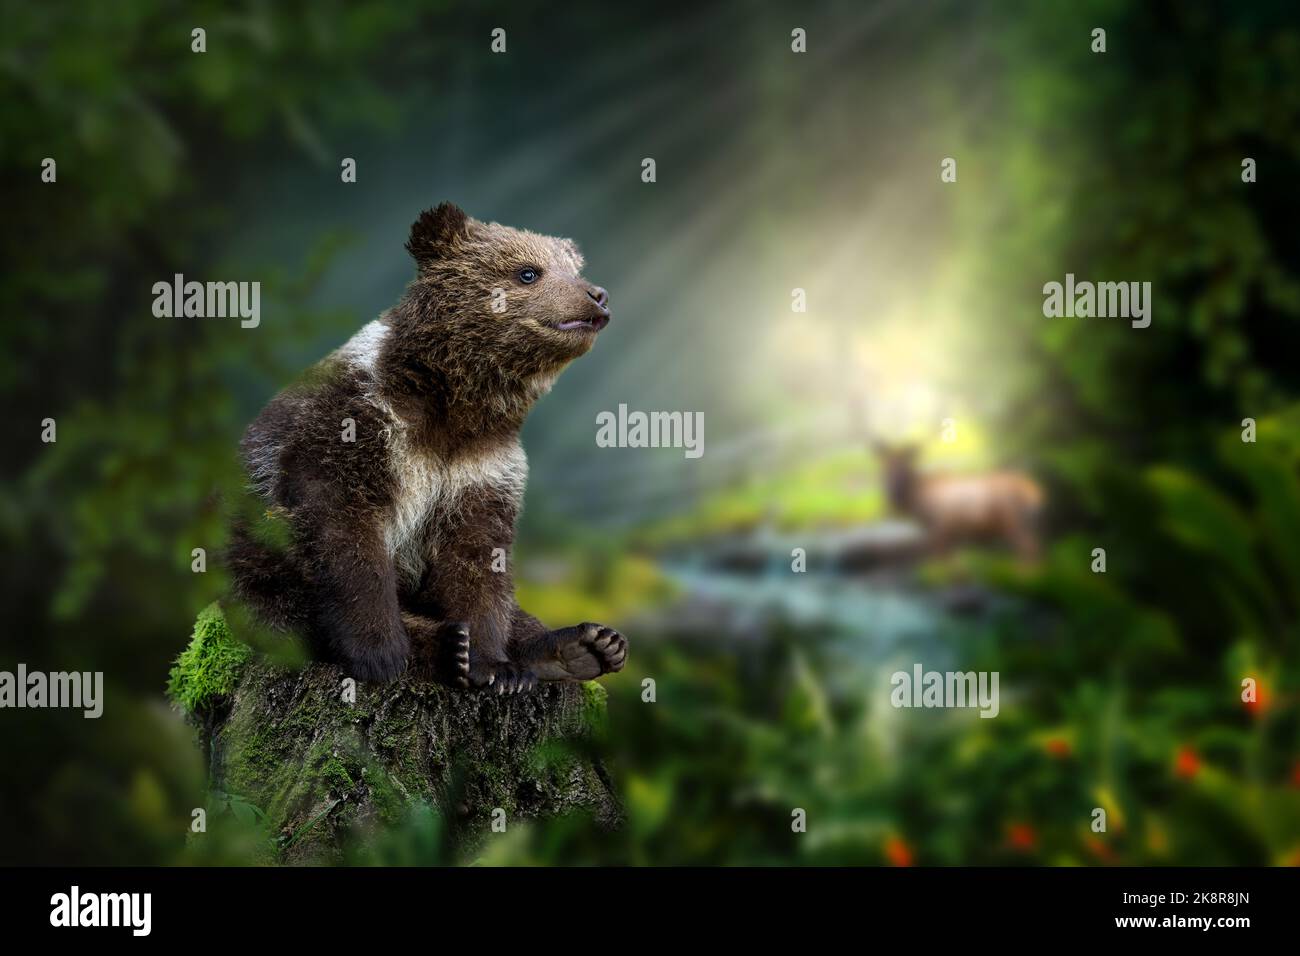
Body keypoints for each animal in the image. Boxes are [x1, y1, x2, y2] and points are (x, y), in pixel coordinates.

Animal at [225, 202, 627, 694]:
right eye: (528, 272)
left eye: (572, 268)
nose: (597, 294)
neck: (450, 403)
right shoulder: (351, 430)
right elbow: (344, 535)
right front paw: (383, 653)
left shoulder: (482, 468)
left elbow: (478, 562)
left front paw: (495, 665)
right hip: (251, 552)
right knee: (284, 609)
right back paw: (445, 645)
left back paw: (585, 646)